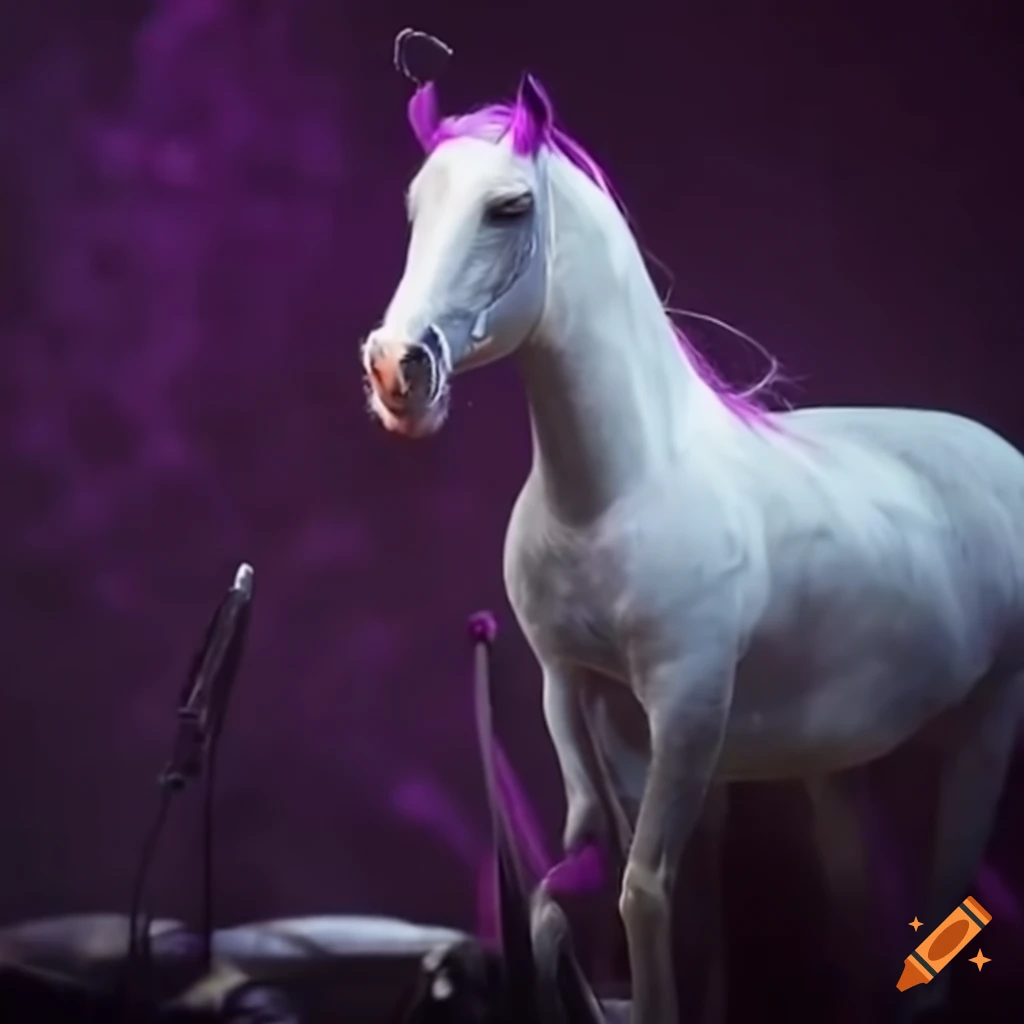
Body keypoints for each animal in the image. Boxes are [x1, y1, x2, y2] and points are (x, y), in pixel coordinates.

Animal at [360, 42, 1024, 1024]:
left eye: (509, 207)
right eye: (415, 207)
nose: (396, 370)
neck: (614, 498)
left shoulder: (688, 711)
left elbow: (645, 897)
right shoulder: (576, 700)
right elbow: (559, 897)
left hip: (983, 733)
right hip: (844, 764)